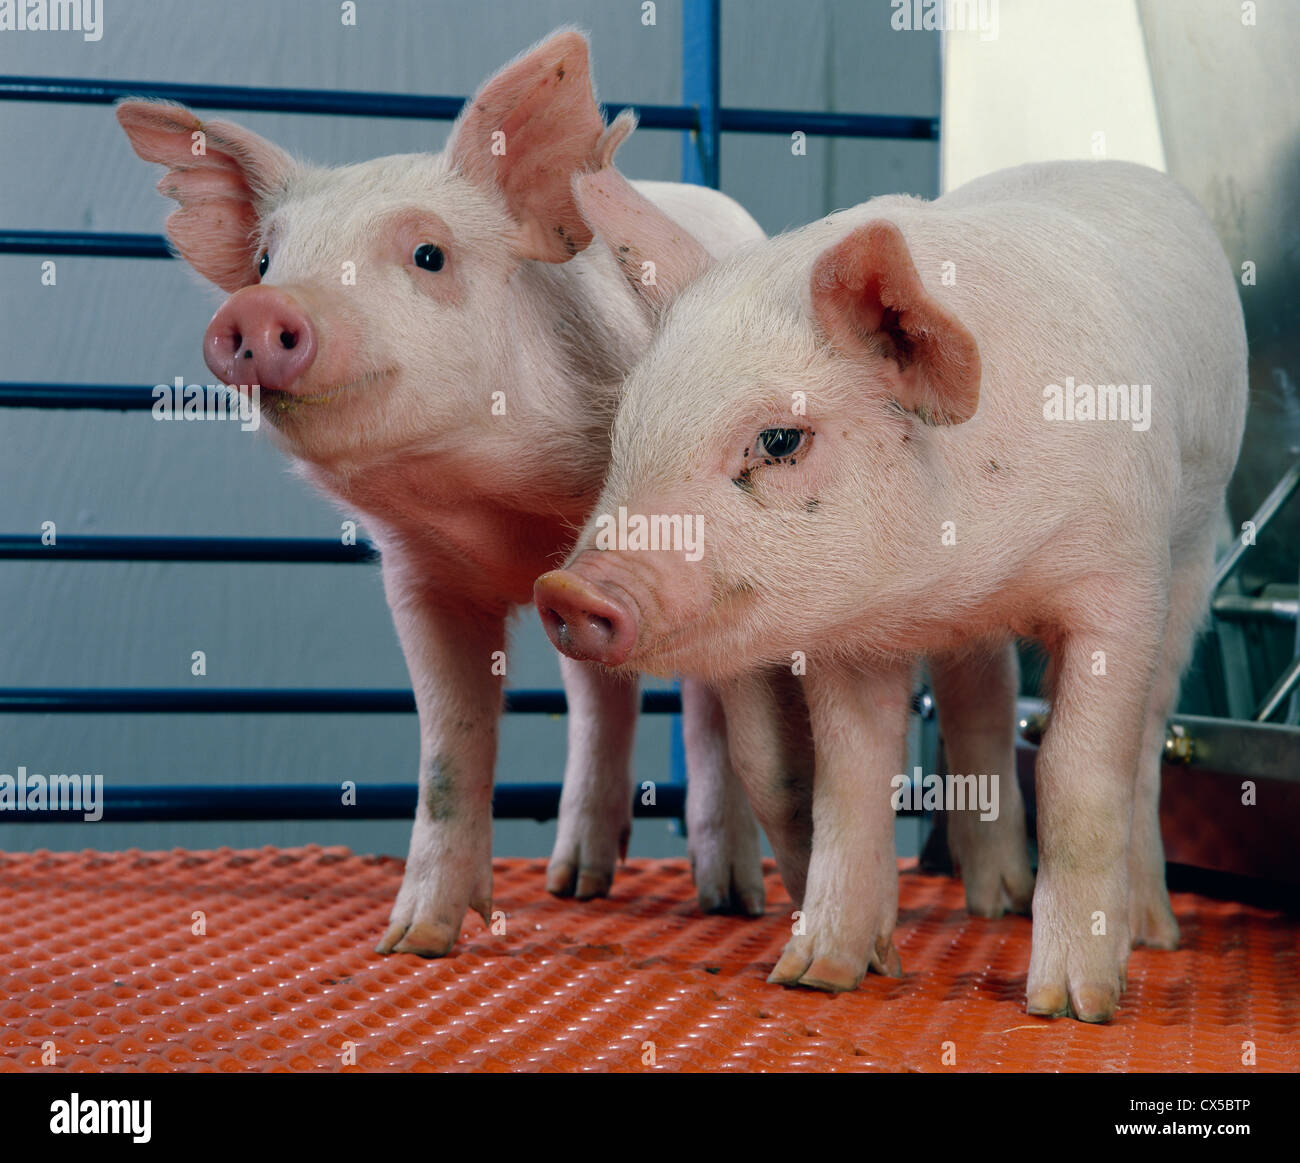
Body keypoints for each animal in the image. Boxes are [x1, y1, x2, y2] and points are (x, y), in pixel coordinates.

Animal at [115, 29, 771, 957]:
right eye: (267, 259)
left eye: (429, 254)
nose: (258, 310)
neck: (490, 509)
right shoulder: (421, 578)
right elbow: (448, 752)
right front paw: (414, 941)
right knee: (599, 695)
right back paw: (575, 882)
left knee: (697, 709)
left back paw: (730, 898)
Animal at [537, 157, 1247, 1021]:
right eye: (625, 433)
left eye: (780, 439)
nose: (568, 589)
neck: (955, 573)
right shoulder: (848, 632)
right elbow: (848, 782)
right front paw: (816, 975)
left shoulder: (1121, 581)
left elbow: (1076, 778)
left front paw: (1071, 1006)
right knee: (981, 700)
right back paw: (995, 901)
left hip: (1195, 550)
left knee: (1145, 739)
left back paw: (1148, 930)